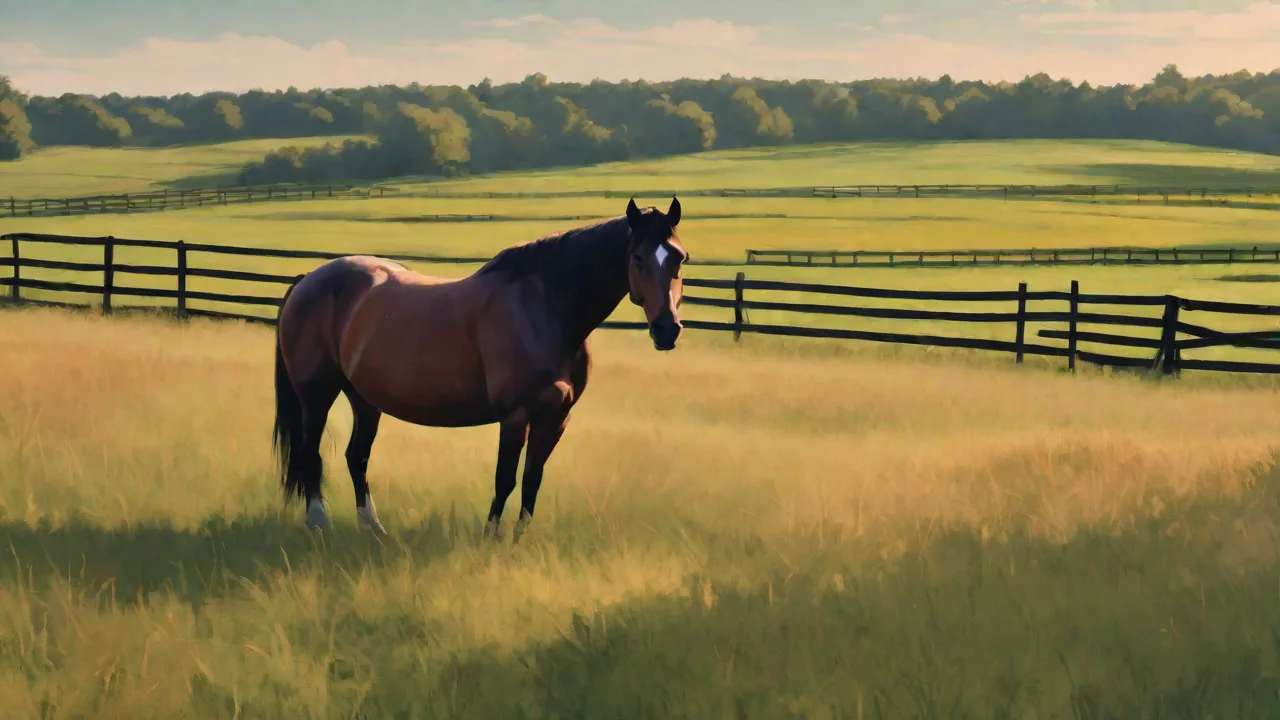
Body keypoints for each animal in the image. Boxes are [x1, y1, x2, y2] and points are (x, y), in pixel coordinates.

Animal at [271, 196, 688, 539]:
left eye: (679, 258)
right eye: (638, 257)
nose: (666, 329)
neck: (544, 309)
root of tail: (307, 280)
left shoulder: (556, 417)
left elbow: (532, 480)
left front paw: (519, 541)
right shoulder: (515, 415)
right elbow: (505, 479)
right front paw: (490, 538)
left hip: (364, 399)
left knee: (356, 458)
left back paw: (373, 528)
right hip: (317, 396)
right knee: (310, 454)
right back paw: (319, 523)